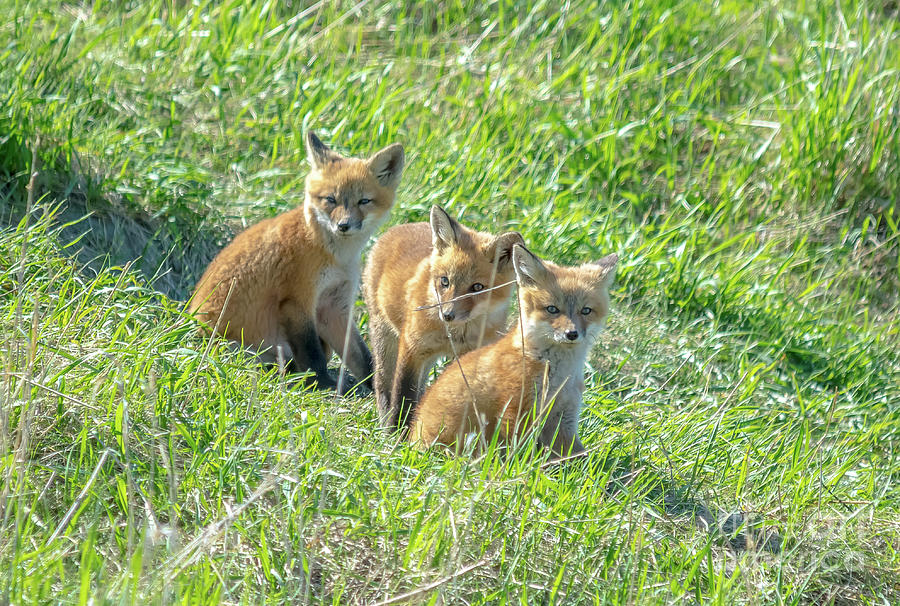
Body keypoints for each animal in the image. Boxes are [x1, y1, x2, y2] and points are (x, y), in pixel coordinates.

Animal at [189, 131, 404, 392]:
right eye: (330, 199)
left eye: (363, 201)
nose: (343, 225)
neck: (335, 257)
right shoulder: (297, 301)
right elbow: (312, 355)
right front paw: (323, 385)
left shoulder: (335, 306)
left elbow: (361, 356)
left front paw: (380, 387)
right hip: (238, 349)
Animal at [363, 205, 524, 431]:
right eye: (445, 281)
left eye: (477, 287)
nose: (447, 315)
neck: (456, 336)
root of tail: (402, 226)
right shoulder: (411, 348)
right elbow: (403, 397)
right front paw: (398, 434)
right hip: (384, 338)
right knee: (383, 385)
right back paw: (385, 422)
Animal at [410, 244, 617, 458]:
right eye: (552, 309)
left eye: (586, 311)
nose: (572, 334)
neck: (557, 376)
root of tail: (410, 439)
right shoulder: (516, 411)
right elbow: (520, 456)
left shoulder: (565, 417)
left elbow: (576, 457)